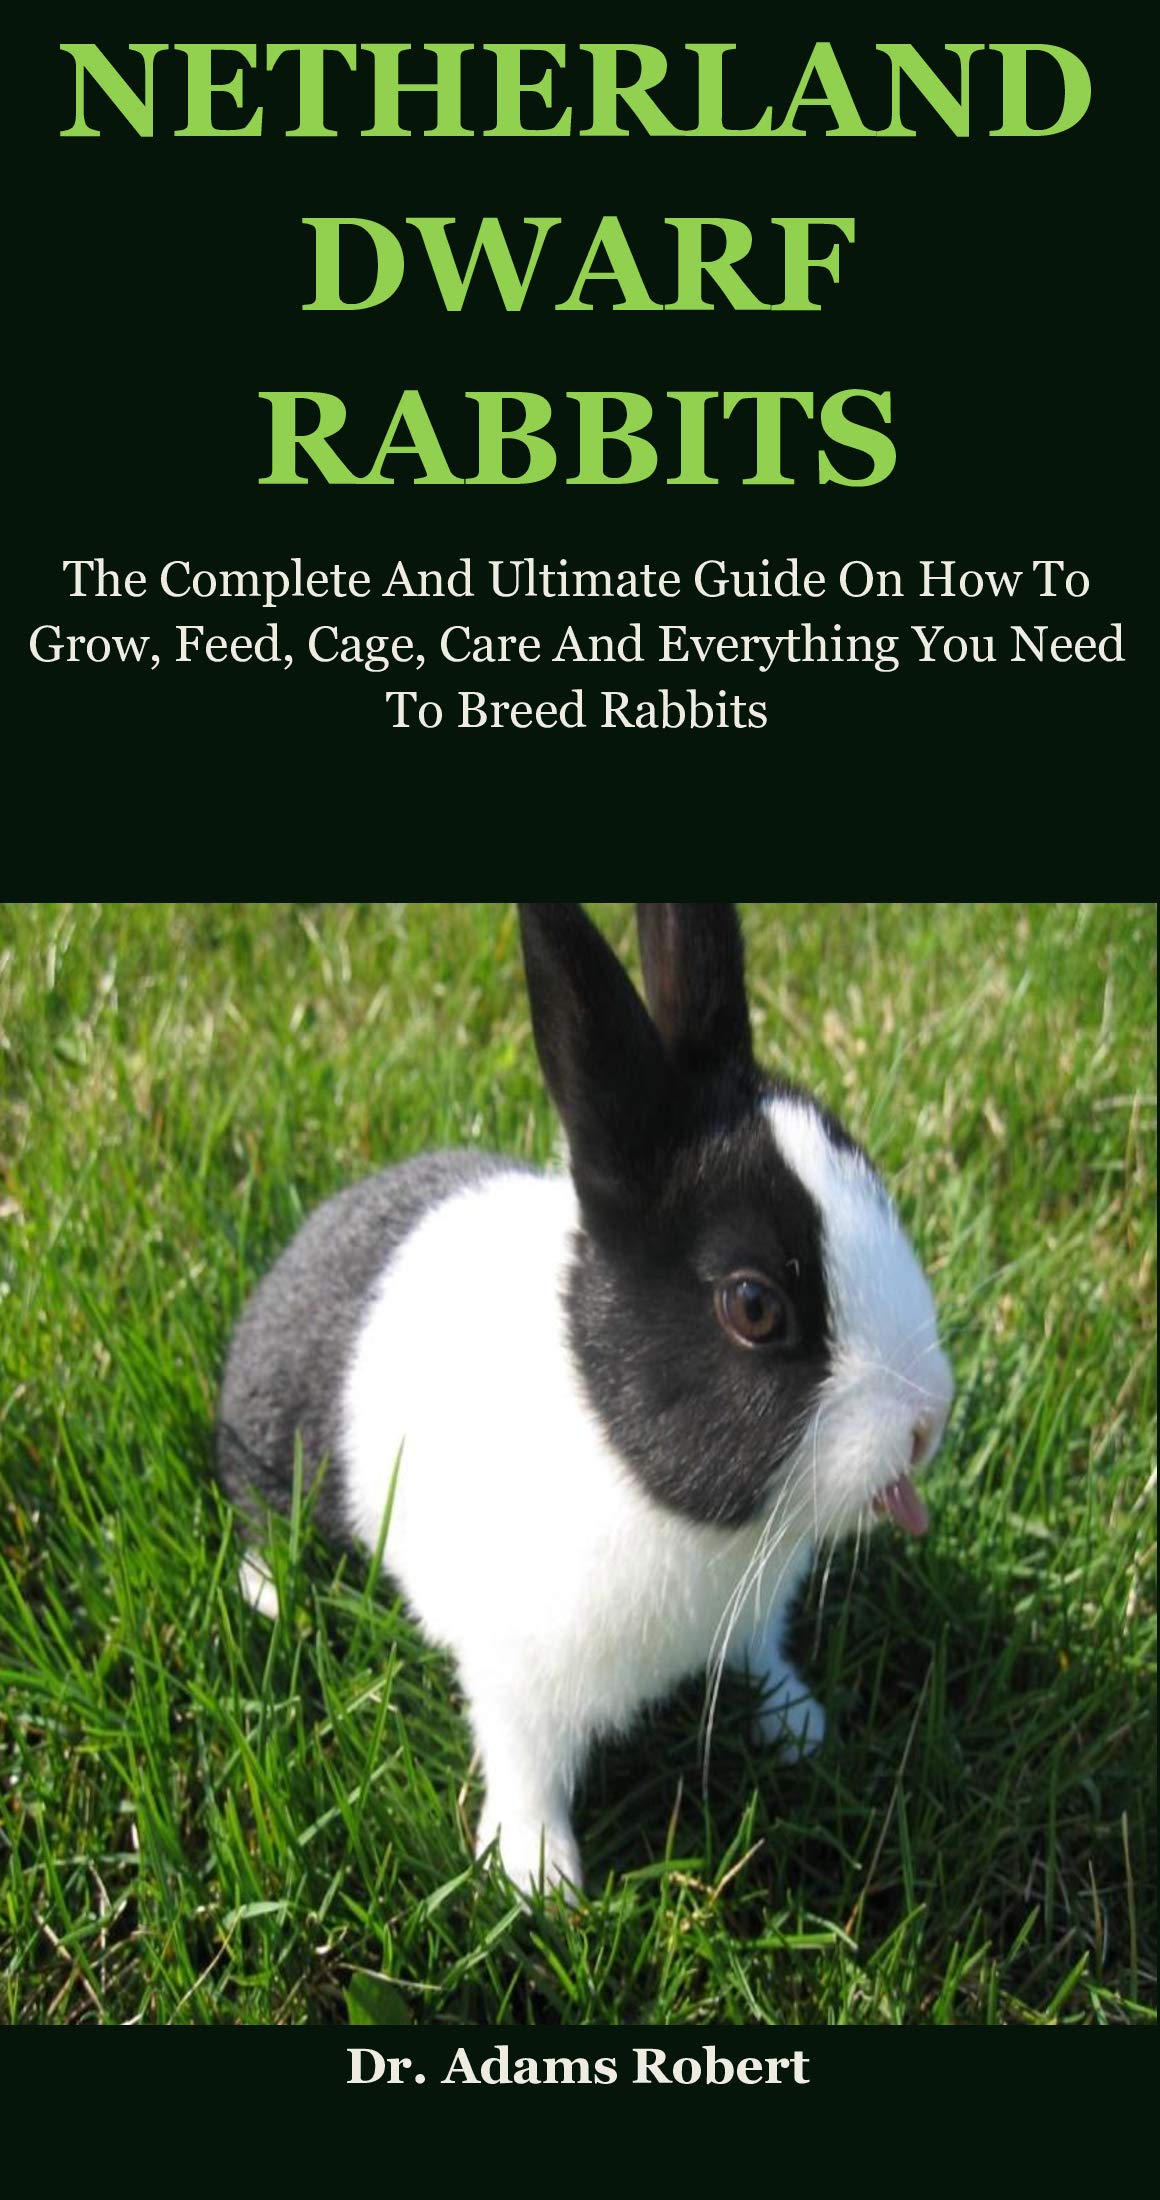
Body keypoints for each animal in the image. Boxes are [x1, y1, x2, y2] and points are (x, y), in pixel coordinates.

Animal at [216, 903, 953, 1897]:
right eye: (754, 1306)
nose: (925, 1426)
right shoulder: (517, 1676)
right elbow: (525, 1762)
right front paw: (538, 1879)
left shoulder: (751, 1616)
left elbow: (759, 1658)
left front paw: (798, 1726)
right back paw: (274, 1601)